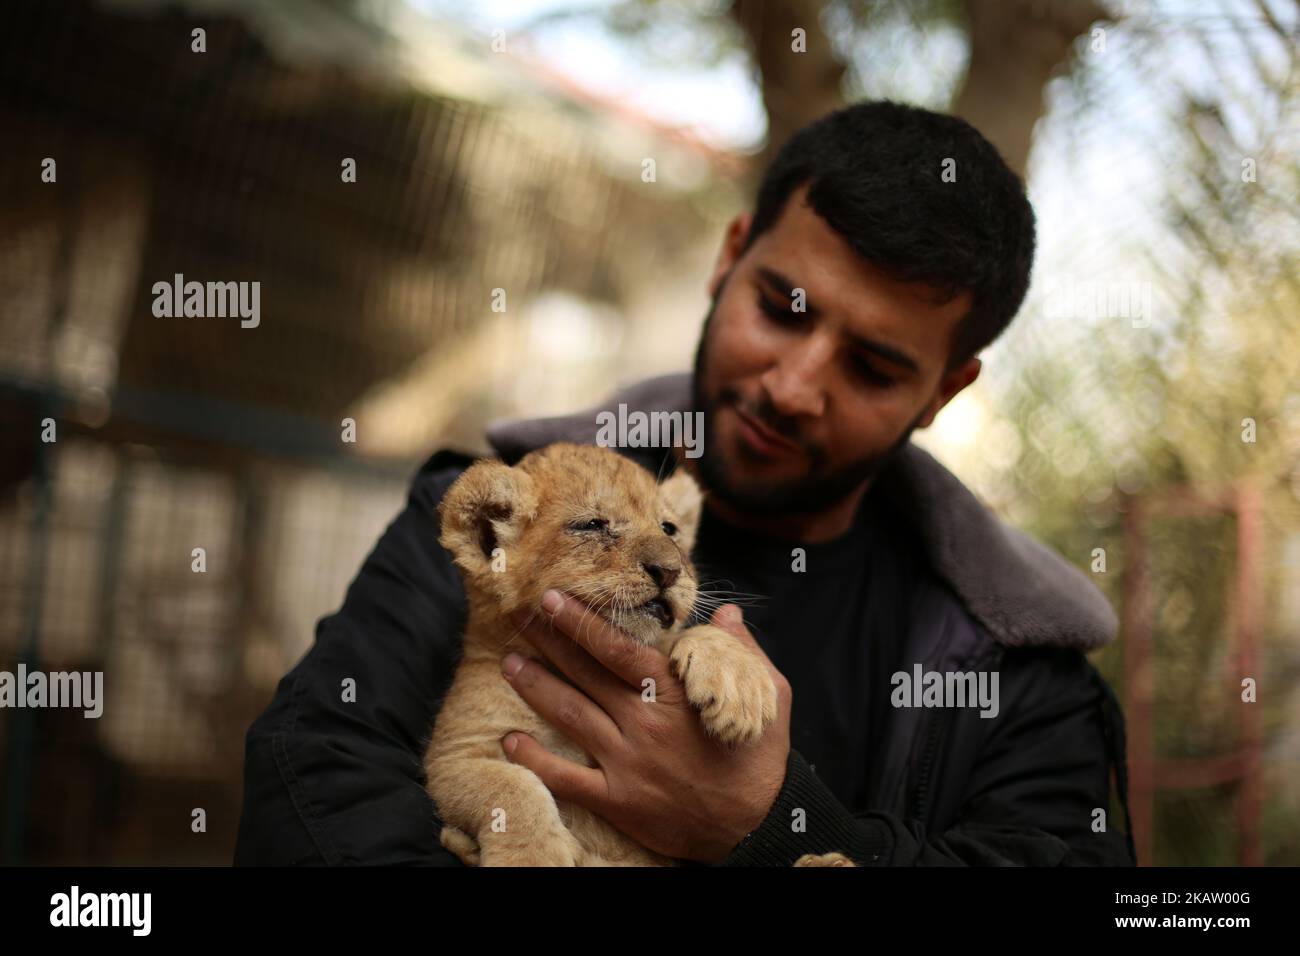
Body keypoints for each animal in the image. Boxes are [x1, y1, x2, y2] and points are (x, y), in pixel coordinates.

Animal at [423, 442, 852, 867]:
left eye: (669, 529)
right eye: (592, 525)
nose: (669, 571)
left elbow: (690, 633)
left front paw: (739, 694)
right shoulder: (454, 755)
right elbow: (511, 788)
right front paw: (533, 858)